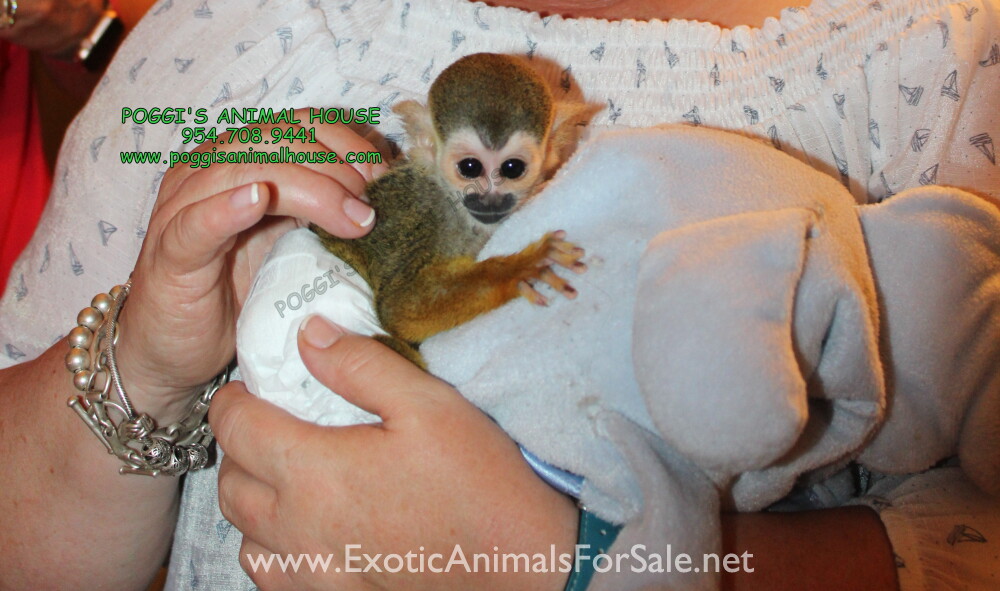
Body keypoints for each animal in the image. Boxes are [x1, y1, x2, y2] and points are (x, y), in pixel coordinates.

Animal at [312, 53, 596, 368]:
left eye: (512, 168)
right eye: (470, 167)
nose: (490, 199)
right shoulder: (425, 217)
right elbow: (400, 307)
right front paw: (523, 266)